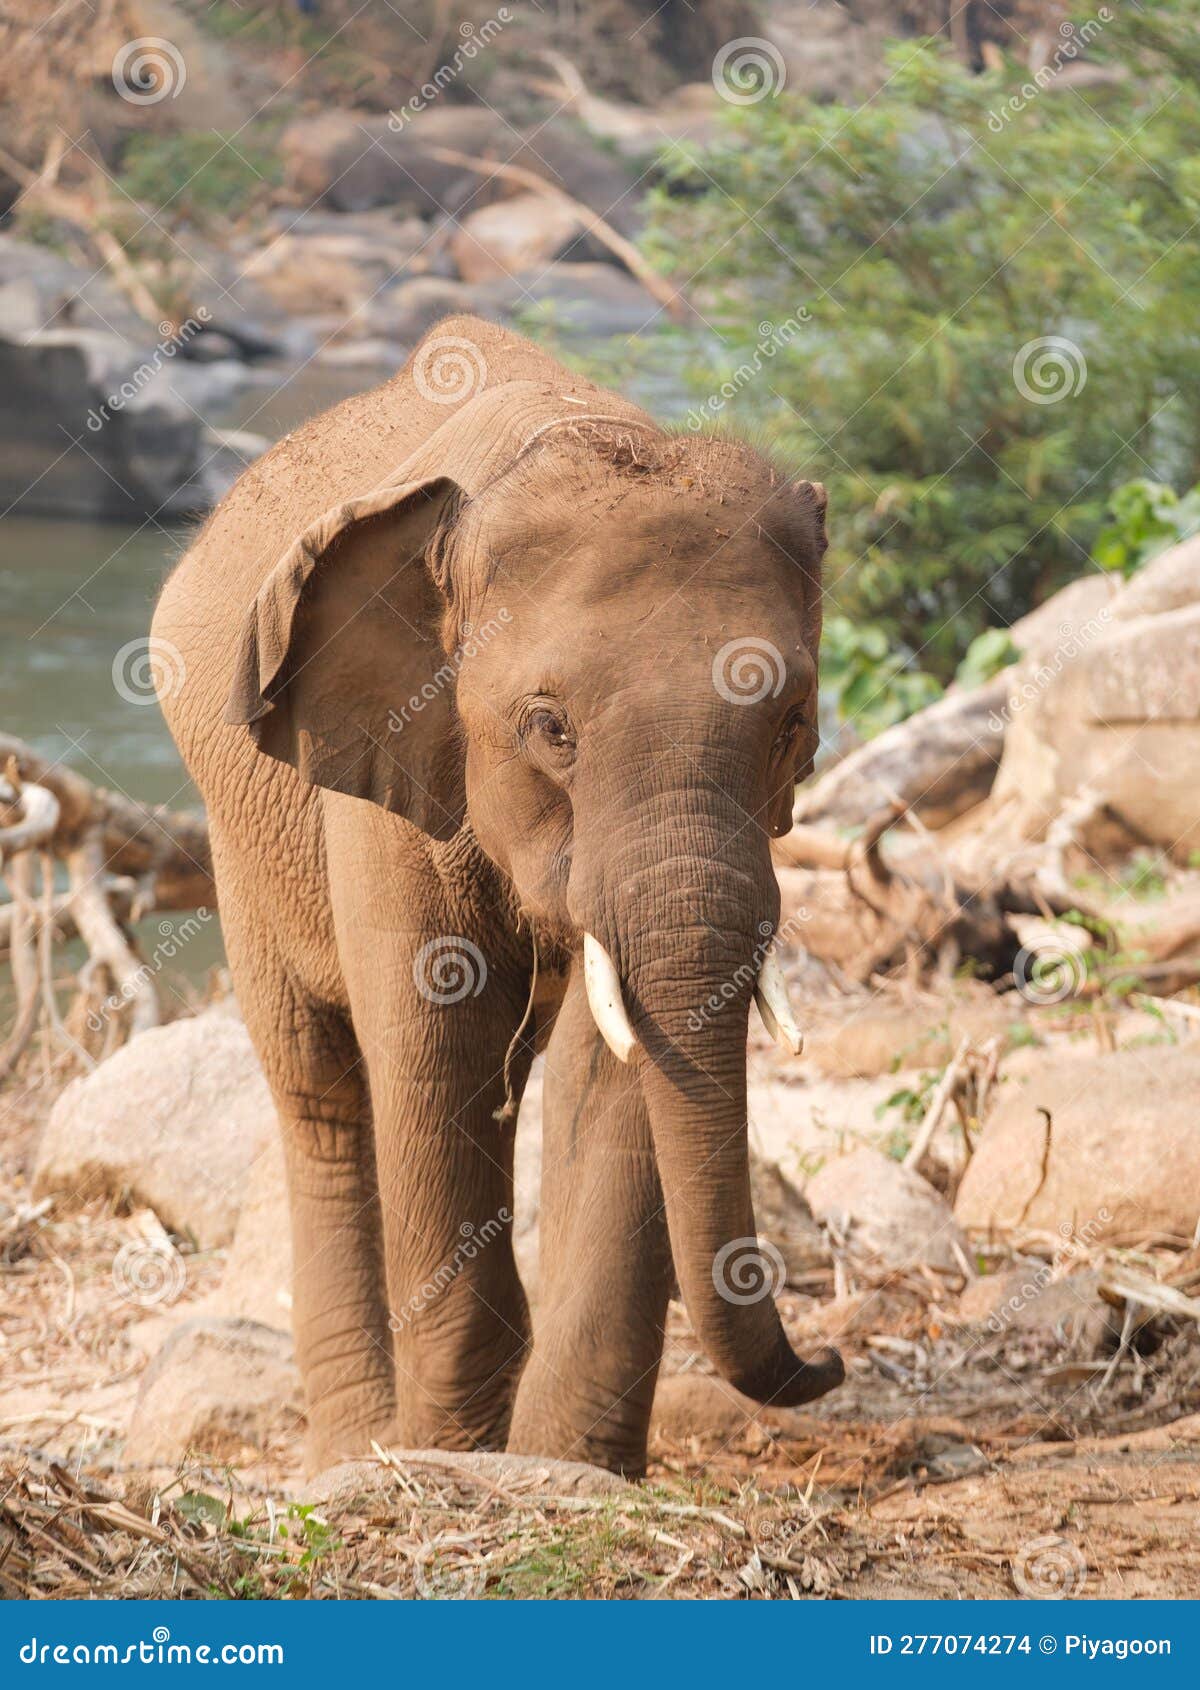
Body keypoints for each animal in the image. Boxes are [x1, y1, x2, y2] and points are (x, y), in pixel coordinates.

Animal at [153, 315, 843, 1478]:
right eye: (549, 726)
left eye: (794, 723)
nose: (829, 1365)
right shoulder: (388, 770)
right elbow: (435, 1045)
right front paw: (453, 1460)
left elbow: (621, 1072)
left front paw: (570, 1468)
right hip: (240, 841)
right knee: (318, 1089)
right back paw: (353, 1451)